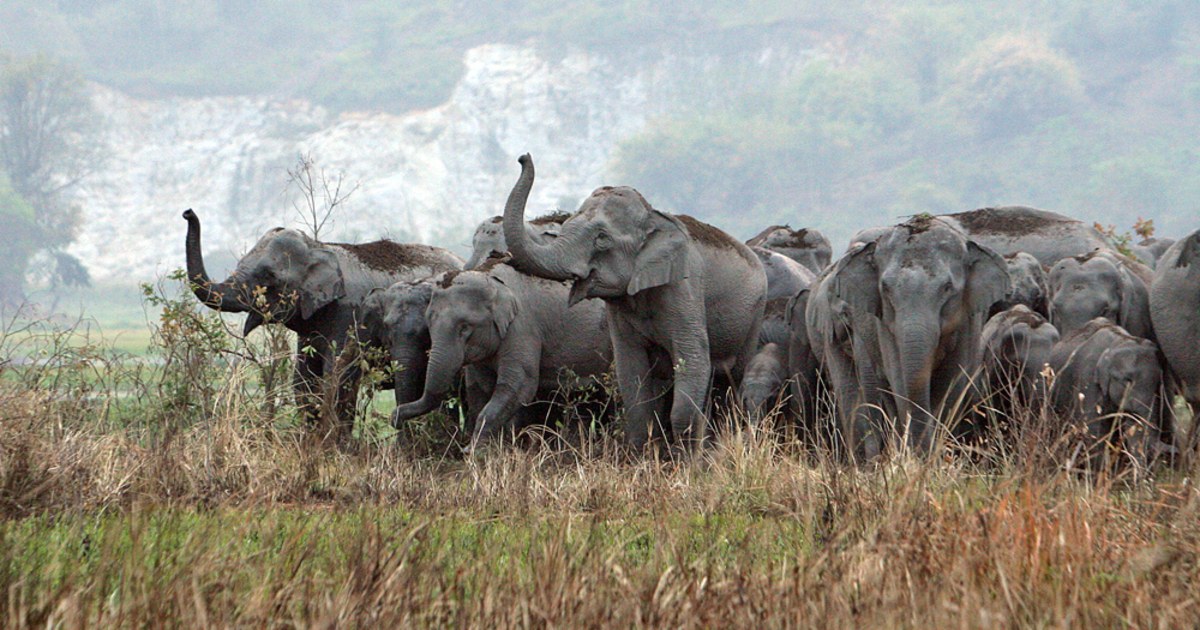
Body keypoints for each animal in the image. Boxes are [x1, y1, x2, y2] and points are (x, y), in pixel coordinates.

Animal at [182, 209, 463, 437]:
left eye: (267, 275)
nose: (187, 213)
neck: (318, 246)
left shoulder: (348, 316)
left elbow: (338, 376)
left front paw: (336, 450)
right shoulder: (311, 326)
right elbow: (303, 380)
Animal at [390, 257, 613, 448]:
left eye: (464, 328)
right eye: (429, 323)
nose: (394, 417)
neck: (491, 278)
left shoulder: (522, 328)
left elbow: (519, 386)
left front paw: (474, 453)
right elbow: (479, 388)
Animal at [500, 154, 767, 453]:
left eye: (602, 238)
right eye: (564, 229)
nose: (523, 157)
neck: (653, 217)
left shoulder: (684, 288)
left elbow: (693, 360)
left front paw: (687, 462)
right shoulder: (619, 310)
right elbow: (631, 370)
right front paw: (644, 456)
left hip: (755, 315)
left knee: (732, 379)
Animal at [828, 215, 1009, 456]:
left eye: (947, 287)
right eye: (885, 288)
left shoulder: (968, 321)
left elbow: (951, 381)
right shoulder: (884, 324)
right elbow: (899, 379)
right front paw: (916, 457)